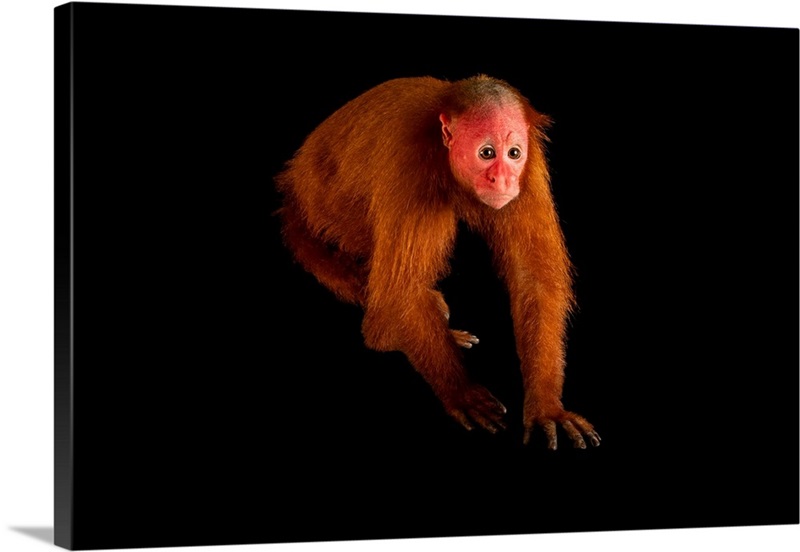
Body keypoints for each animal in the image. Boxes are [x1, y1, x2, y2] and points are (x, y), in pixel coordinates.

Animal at [275, 75, 600, 449]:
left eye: (514, 153)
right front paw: (460, 391)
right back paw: (385, 334)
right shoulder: (410, 164)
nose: (502, 179)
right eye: (487, 153)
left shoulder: (529, 172)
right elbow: (400, 292)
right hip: (325, 219)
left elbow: (532, 277)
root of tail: (293, 187)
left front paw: (546, 407)